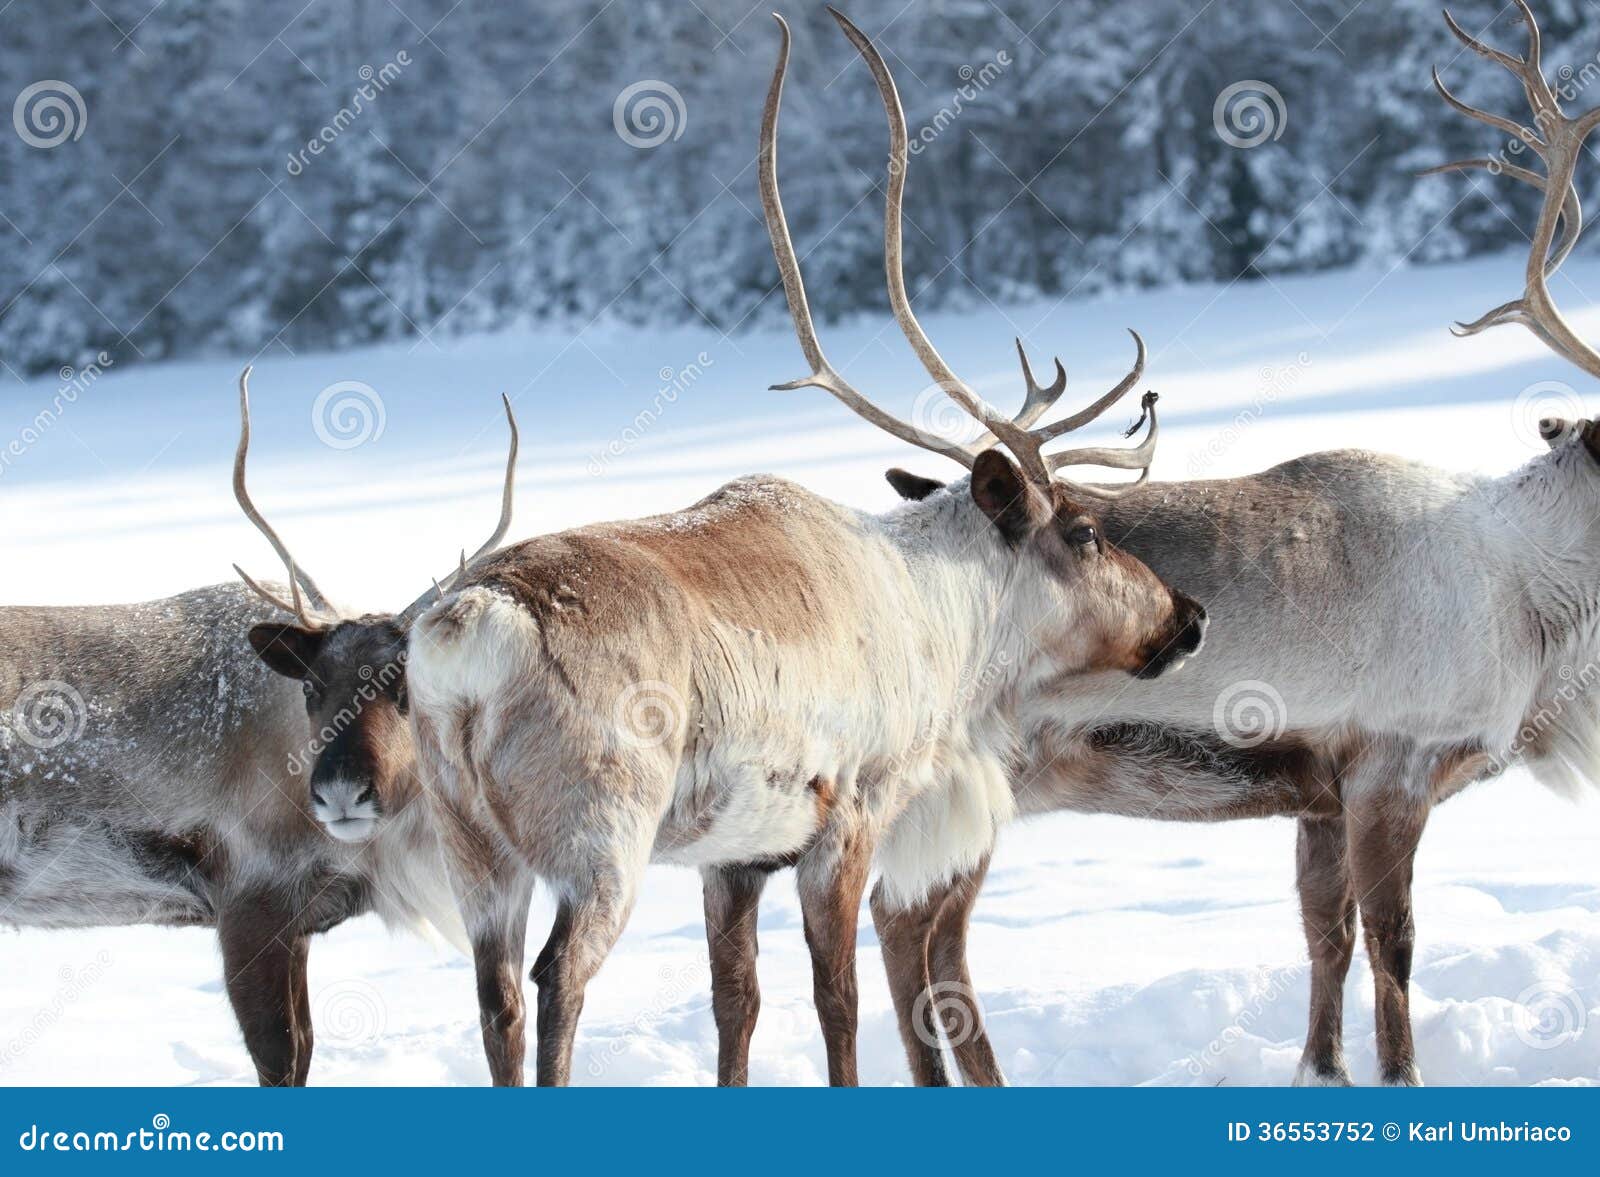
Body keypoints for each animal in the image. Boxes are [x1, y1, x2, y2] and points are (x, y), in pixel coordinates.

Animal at [0, 368, 477, 1085]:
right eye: (311, 686)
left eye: (405, 687)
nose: (341, 792)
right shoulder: (248, 902)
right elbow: (280, 1058)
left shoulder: (299, 918)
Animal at [393, 7, 1207, 1088]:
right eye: (1083, 531)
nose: (1188, 615)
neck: (945, 629)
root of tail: (470, 627)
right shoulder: (849, 812)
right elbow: (839, 1001)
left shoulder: (732, 856)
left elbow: (734, 1003)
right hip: (601, 831)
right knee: (557, 978)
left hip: (471, 847)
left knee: (494, 998)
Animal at [786, 0, 1600, 1090]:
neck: (1532, 606)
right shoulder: (1391, 766)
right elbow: (1393, 945)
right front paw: (1400, 1079)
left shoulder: (1320, 794)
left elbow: (1326, 935)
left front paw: (1321, 1070)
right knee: (910, 922)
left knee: (922, 931)